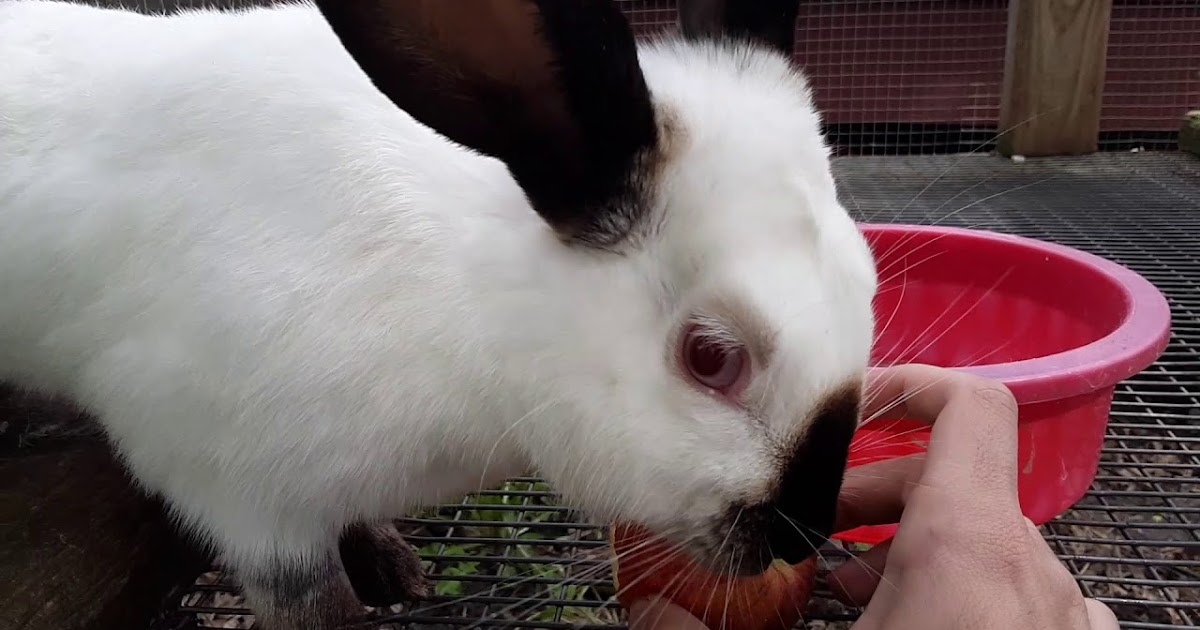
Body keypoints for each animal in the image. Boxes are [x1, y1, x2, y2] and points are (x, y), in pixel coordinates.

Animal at [0, 0, 880, 628]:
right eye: (710, 357)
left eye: (867, 282)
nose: (803, 532)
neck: (472, 302)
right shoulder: (244, 499)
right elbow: (311, 605)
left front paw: (390, 562)